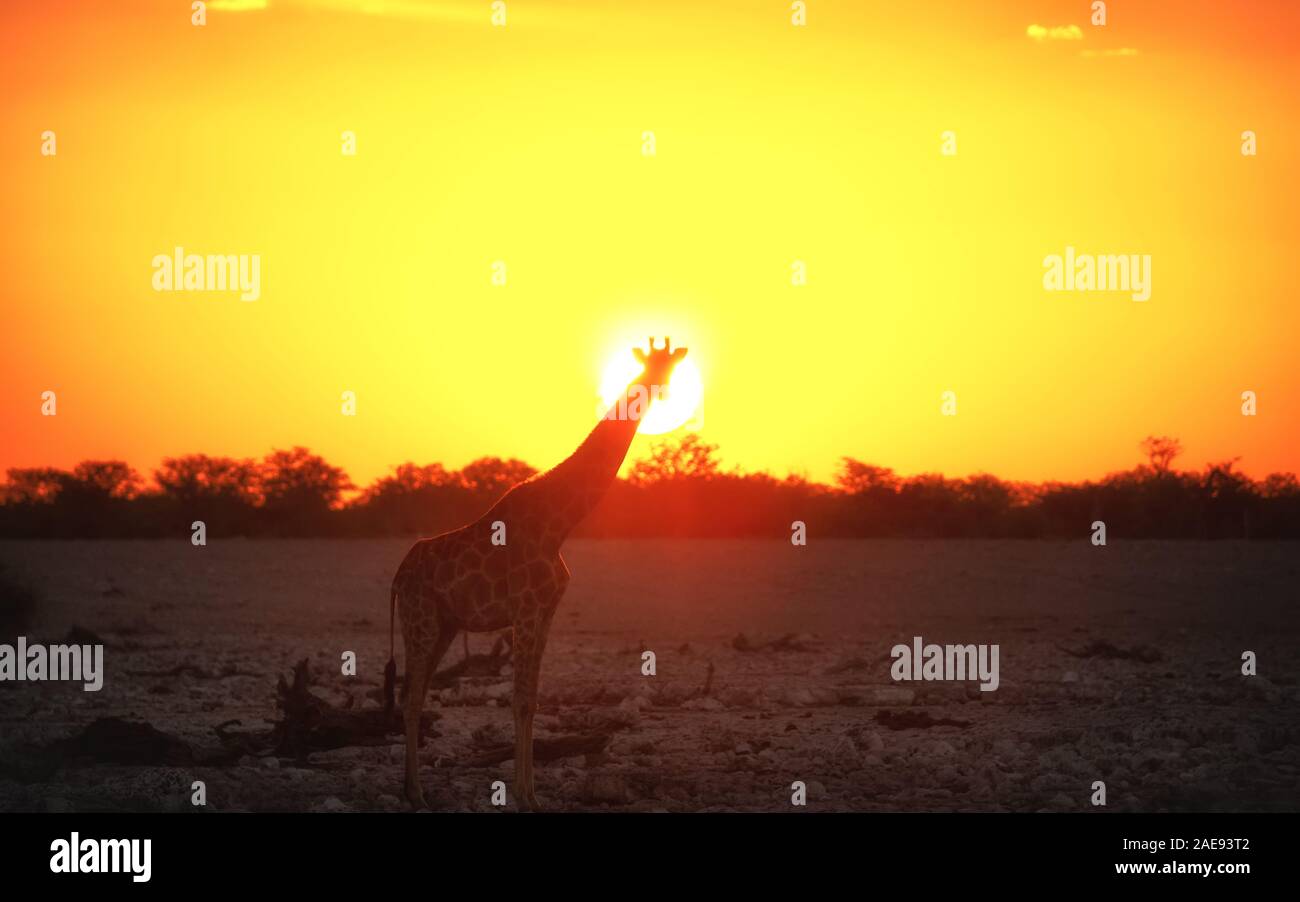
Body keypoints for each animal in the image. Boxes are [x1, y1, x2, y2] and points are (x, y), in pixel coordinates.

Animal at [385, 337, 688, 810]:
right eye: (649, 366)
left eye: (671, 367)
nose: (660, 391)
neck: (560, 522)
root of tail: (398, 577)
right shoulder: (526, 609)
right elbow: (520, 700)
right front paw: (523, 797)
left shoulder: (546, 611)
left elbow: (533, 699)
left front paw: (532, 795)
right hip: (421, 621)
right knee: (413, 695)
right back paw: (416, 794)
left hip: (444, 625)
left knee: (410, 692)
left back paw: (409, 789)